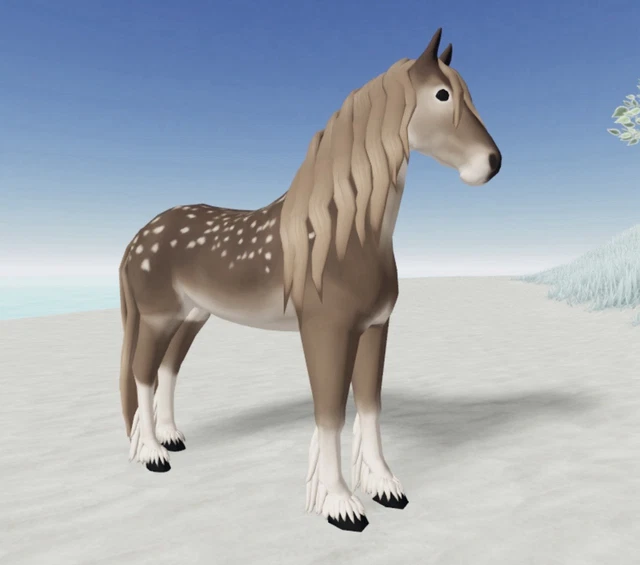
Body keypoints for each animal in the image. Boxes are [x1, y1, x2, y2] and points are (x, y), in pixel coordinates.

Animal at [118, 28, 502, 533]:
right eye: (442, 95)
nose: (492, 163)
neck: (345, 237)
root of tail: (140, 235)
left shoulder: (374, 329)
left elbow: (370, 406)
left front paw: (384, 486)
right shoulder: (326, 332)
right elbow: (330, 413)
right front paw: (340, 504)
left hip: (194, 315)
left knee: (167, 369)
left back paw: (170, 436)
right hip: (159, 316)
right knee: (143, 372)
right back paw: (151, 453)